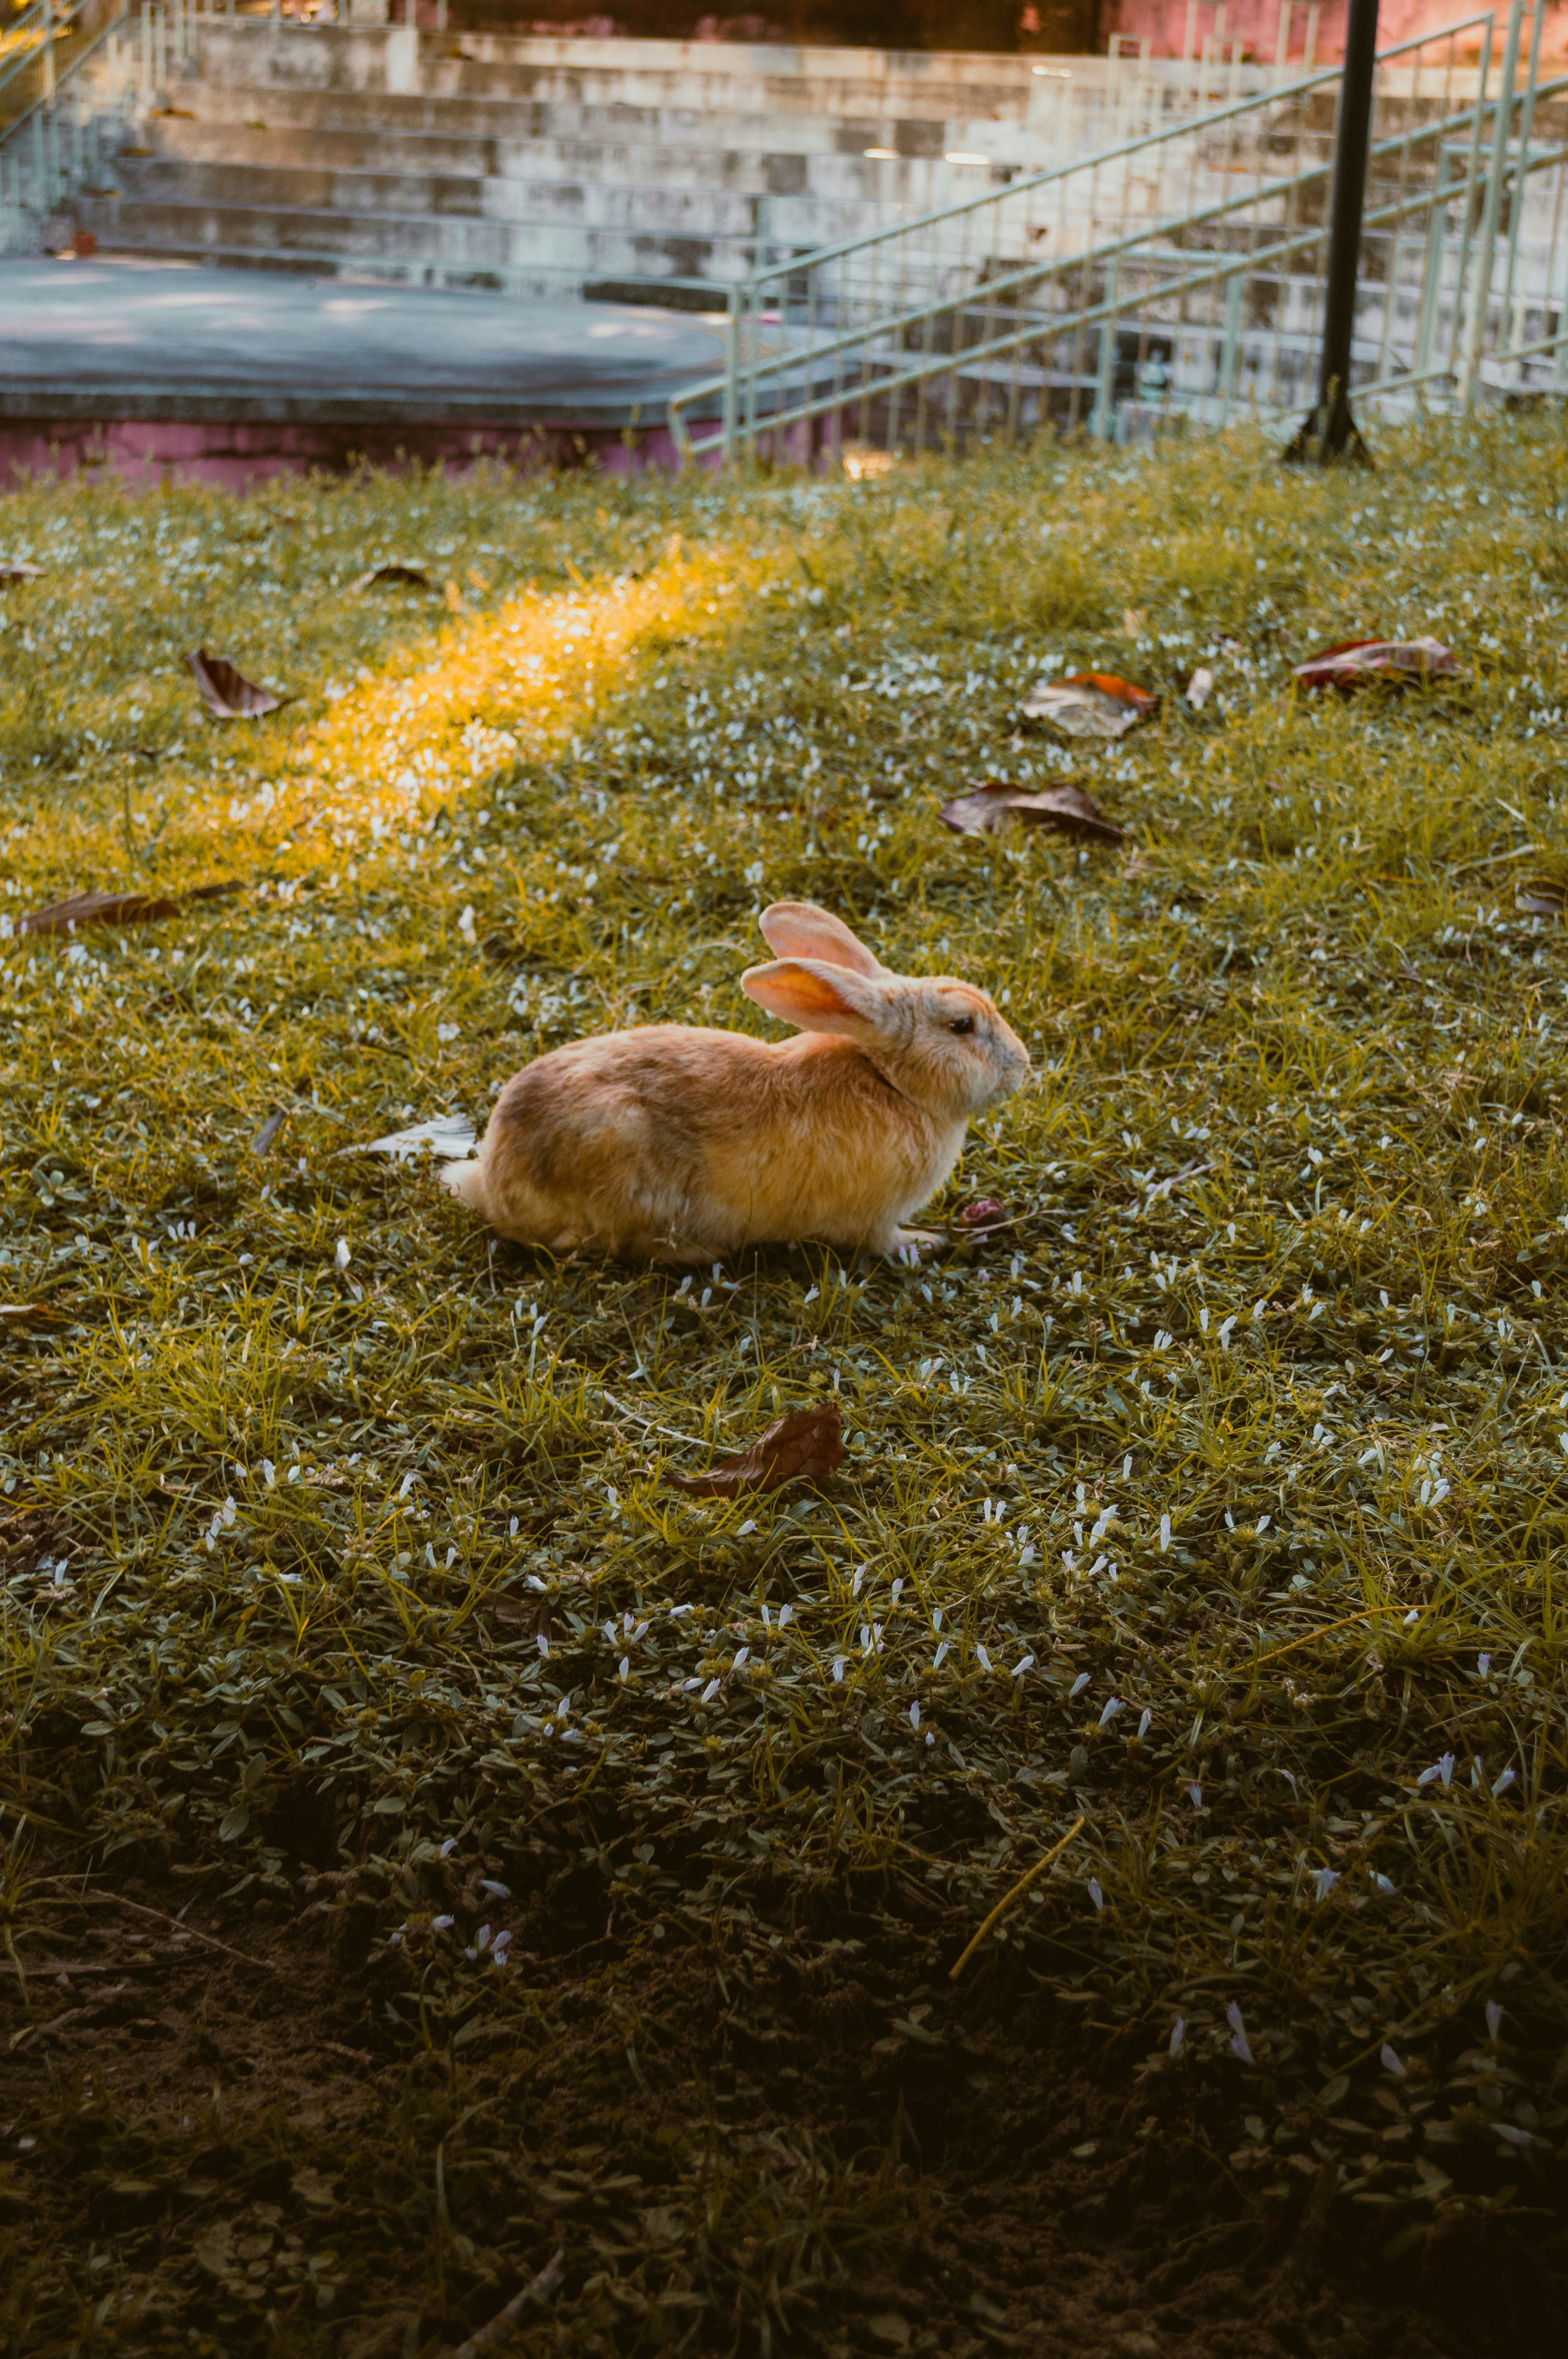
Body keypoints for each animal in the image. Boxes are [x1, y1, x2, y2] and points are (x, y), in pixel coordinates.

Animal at [440, 898, 1030, 1265]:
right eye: (962, 1026)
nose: (1022, 1066)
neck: (891, 1082)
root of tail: (494, 1180)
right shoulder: (872, 1220)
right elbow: (880, 1241)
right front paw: (926, 1243)